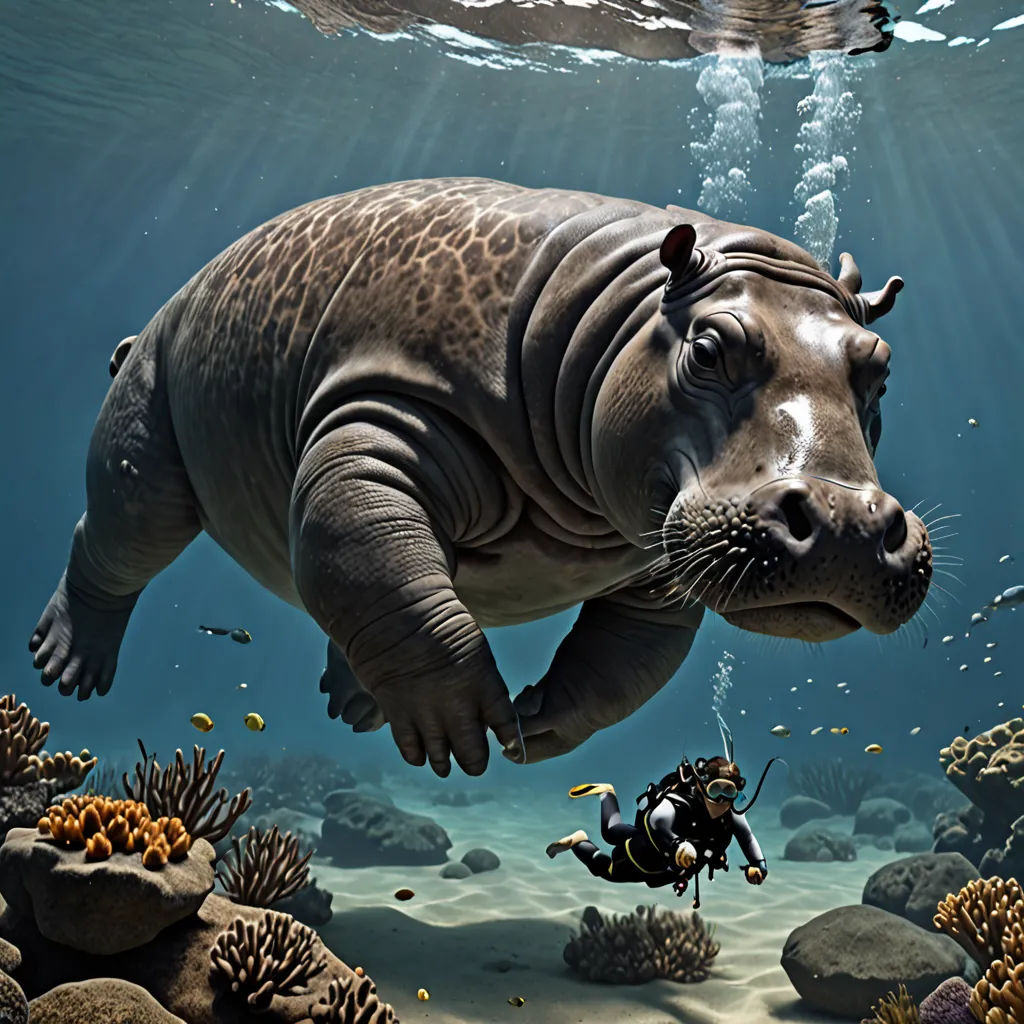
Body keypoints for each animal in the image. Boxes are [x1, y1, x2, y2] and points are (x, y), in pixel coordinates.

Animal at [30, 177, 931, 777]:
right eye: (709, 348)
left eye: (881, 369)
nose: (848, 526)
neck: (624, 315)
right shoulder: (377, 423)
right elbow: (385, 571)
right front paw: (459, 739)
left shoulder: (656, 558)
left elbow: (628, 664)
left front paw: (536, 727)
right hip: (149, 426)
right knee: (120, 534)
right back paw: (65, 670)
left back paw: (352, 705)